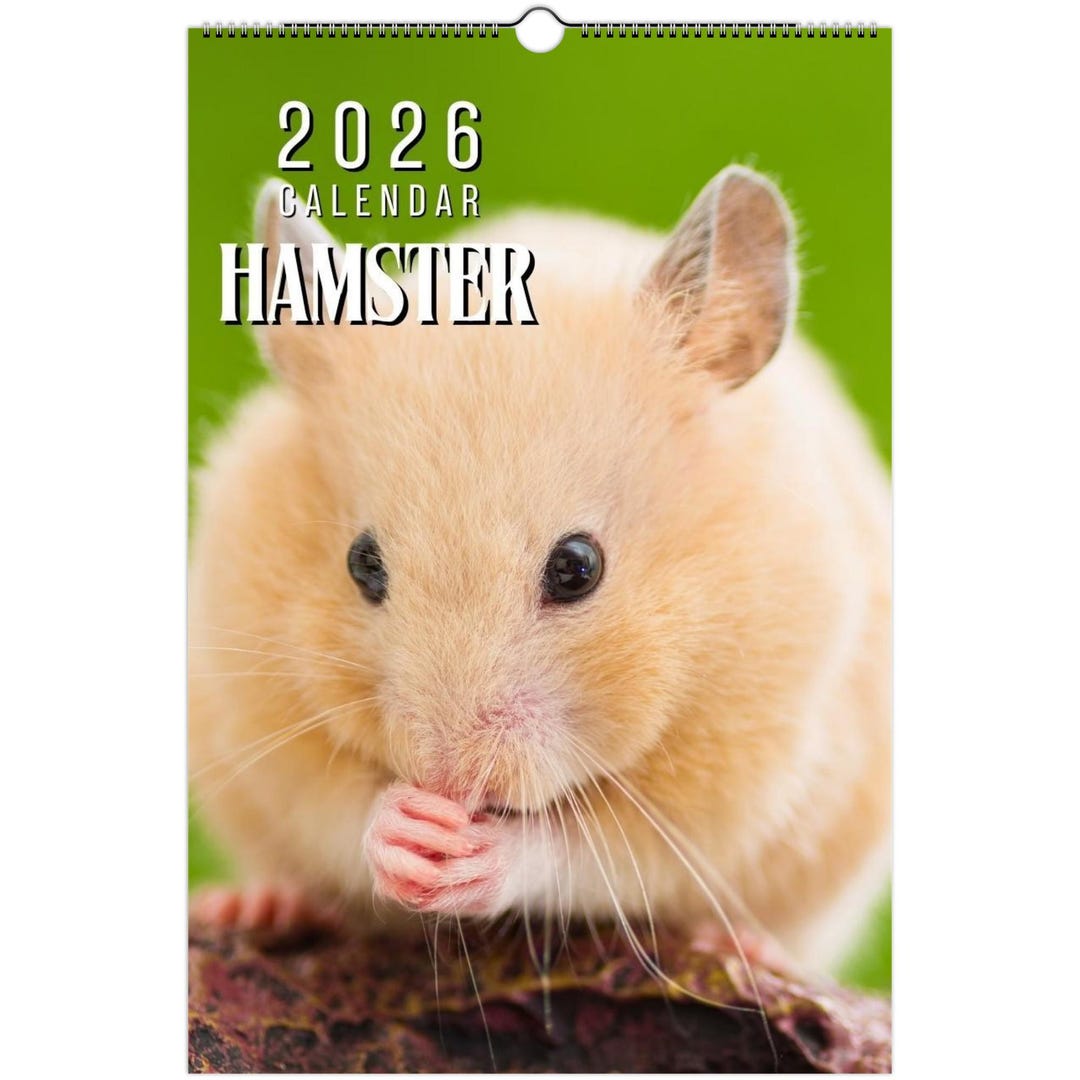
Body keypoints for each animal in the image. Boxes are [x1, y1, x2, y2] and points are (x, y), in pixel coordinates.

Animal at [188, 165, 891, 975]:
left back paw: (748, 948)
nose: (449, 780)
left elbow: (582, 848)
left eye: (578, 567)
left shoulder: (736, 773)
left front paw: (474, 852)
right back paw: (250, 906)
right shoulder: (258, 719)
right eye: (361, 564)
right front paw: (410, 829)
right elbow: (336, 809)